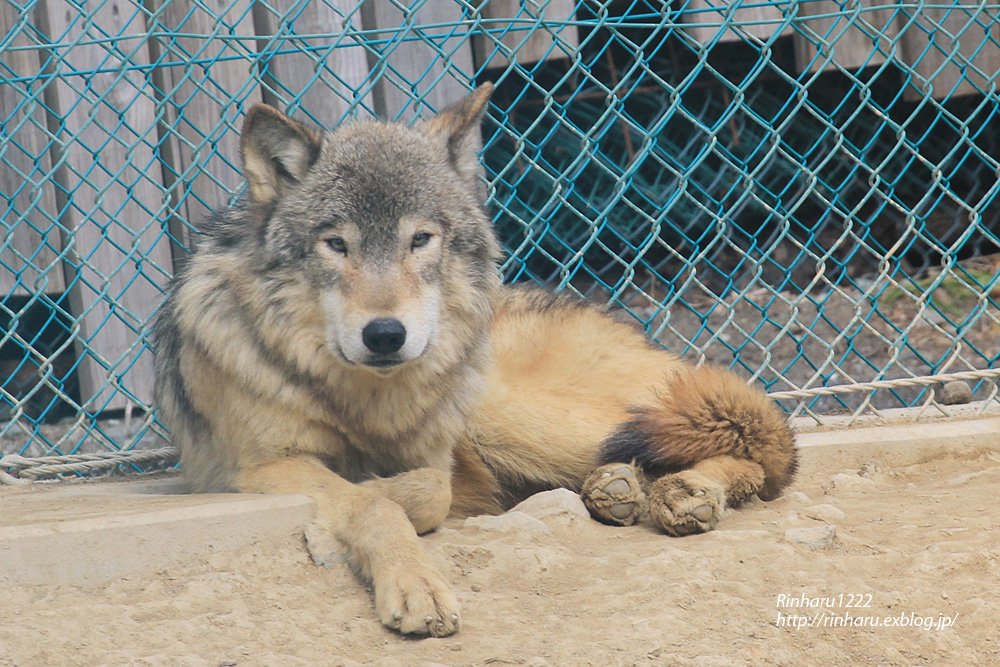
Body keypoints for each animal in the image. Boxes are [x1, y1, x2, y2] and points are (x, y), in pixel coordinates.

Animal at [154, 82, 796, 636]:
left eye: (420, 239)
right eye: (336, 244)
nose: (384, 334)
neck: (367, 401)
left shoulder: (416, 454)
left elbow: (421, 489)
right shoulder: (260, 466)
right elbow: (375, 502)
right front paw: (405, 569)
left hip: (508, 413)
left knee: (767, 449)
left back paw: (685, 492)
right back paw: (620, 488)